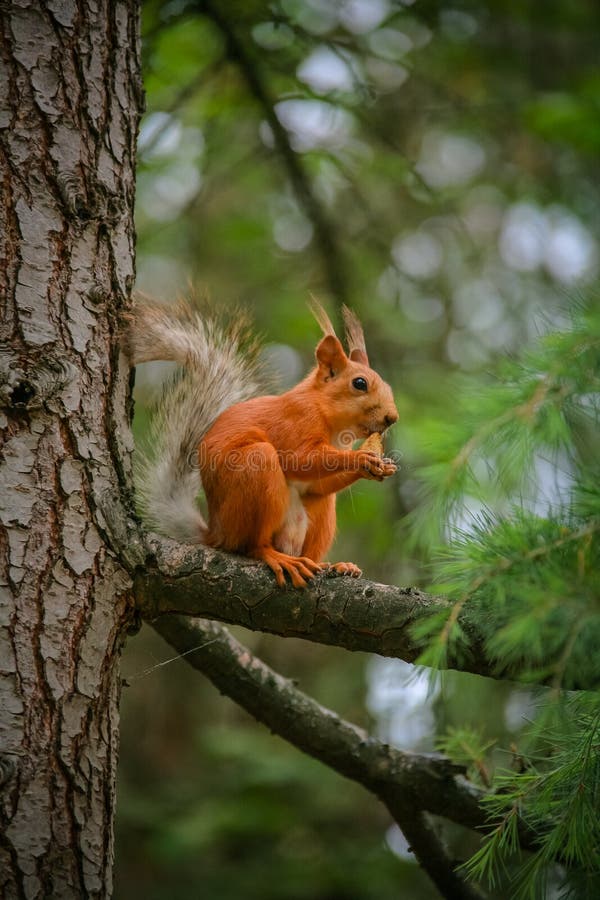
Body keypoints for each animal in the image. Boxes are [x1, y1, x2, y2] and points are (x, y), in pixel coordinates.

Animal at [126, 298, 398, 588]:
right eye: (359, 383)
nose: (392, 418)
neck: (331, 420)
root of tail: (216, 534)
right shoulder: (295, 421)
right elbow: (299, 460)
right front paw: (361, 458)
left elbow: (317, 483)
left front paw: (380, 467)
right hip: (253, 475)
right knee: (250, 546)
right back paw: (276, 557)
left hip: (317, 514)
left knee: (317, 517)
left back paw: (332, 565)